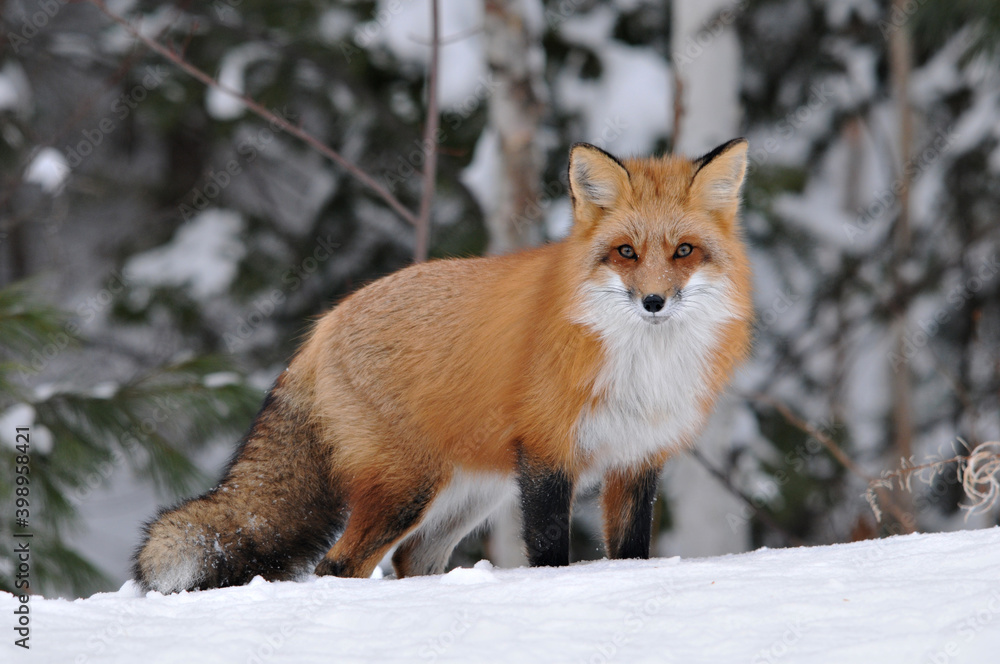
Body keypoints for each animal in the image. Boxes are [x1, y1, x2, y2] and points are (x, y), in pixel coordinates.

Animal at [134, 138, 753, 593]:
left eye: (683, 251)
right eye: (626, 252)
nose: (654, 302)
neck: (641, 362)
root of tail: (324, 325)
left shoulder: (637, 458)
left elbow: (630, 552)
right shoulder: (547, 454)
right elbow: (550, 554)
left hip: (466, 494)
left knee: (411, 559)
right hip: (406, 489)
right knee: (338, 566)